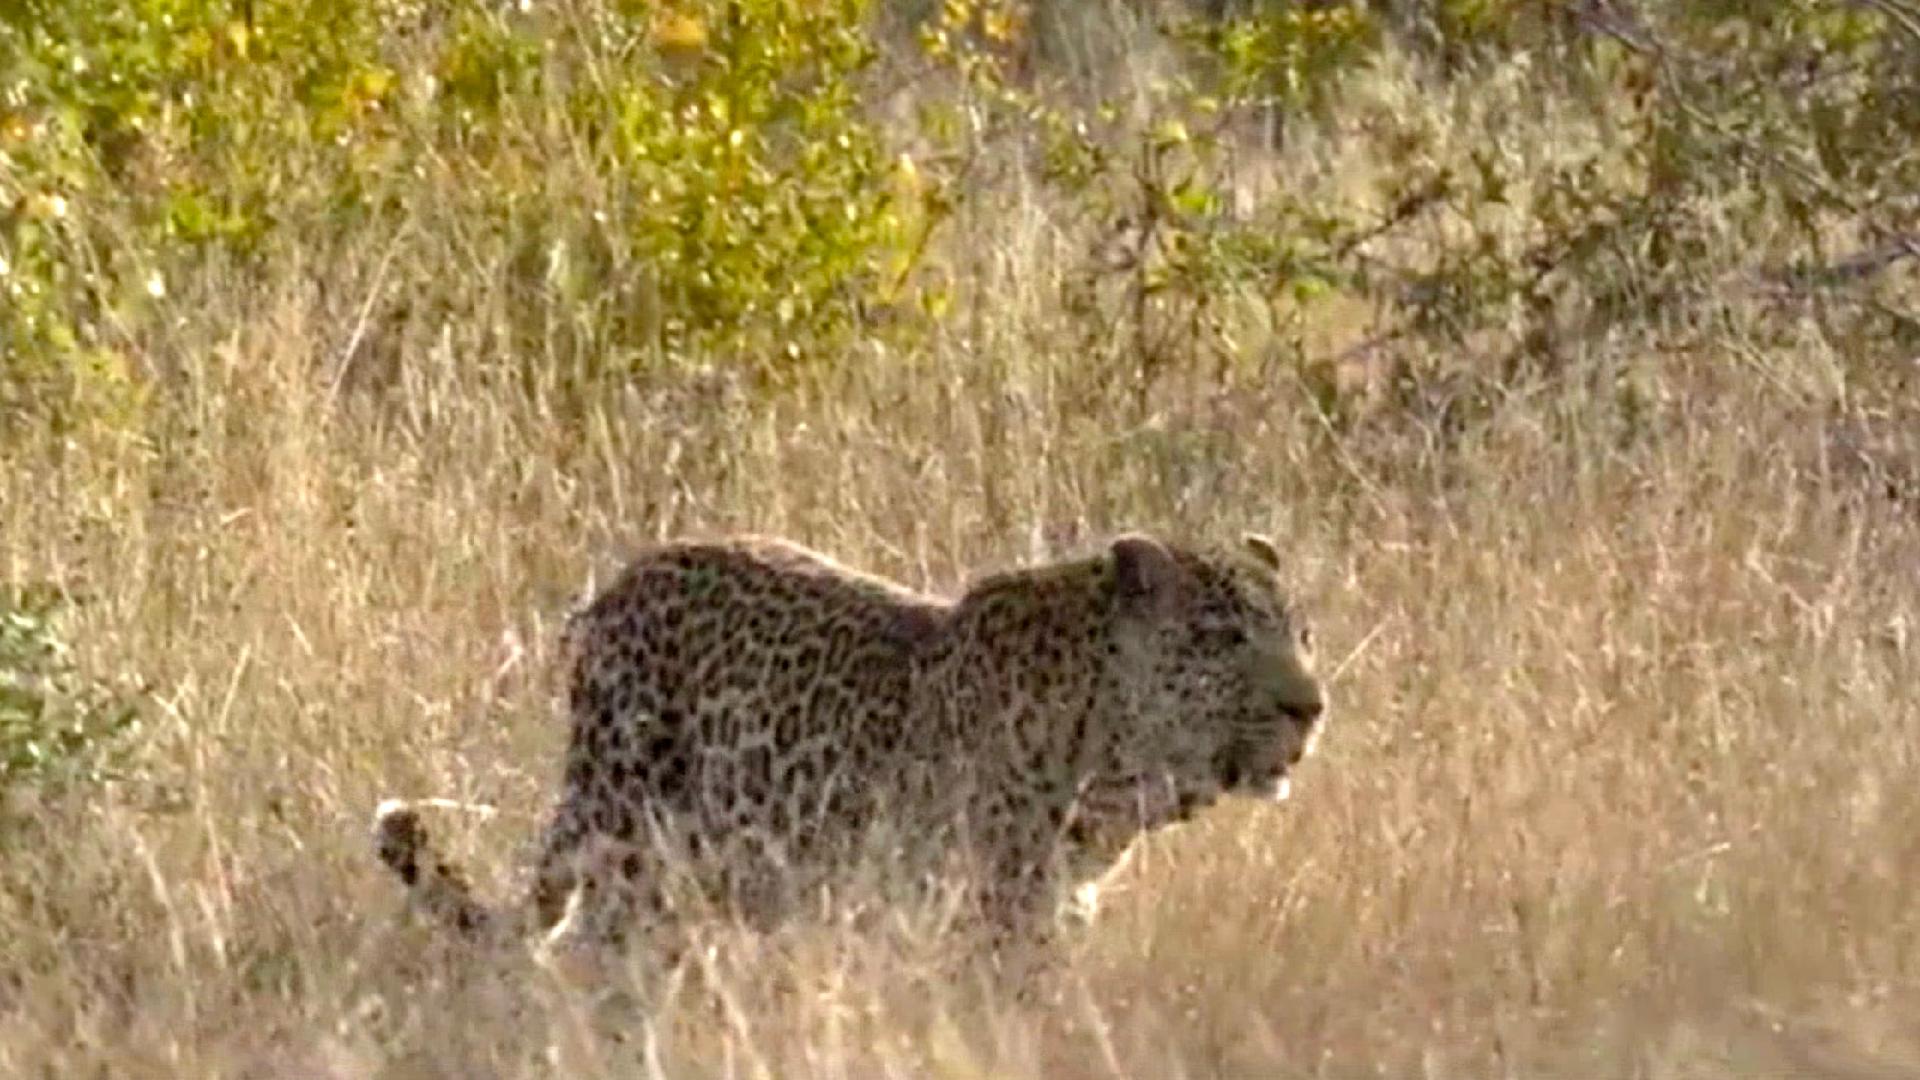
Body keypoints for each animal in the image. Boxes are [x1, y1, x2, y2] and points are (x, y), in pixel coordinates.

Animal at [373, 531, 1327, 960]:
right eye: (1220, 638)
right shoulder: (983, 921)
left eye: (1302, 634)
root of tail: (617, 588)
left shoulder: (1049, 916)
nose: (1310, 707)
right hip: (628, 844)